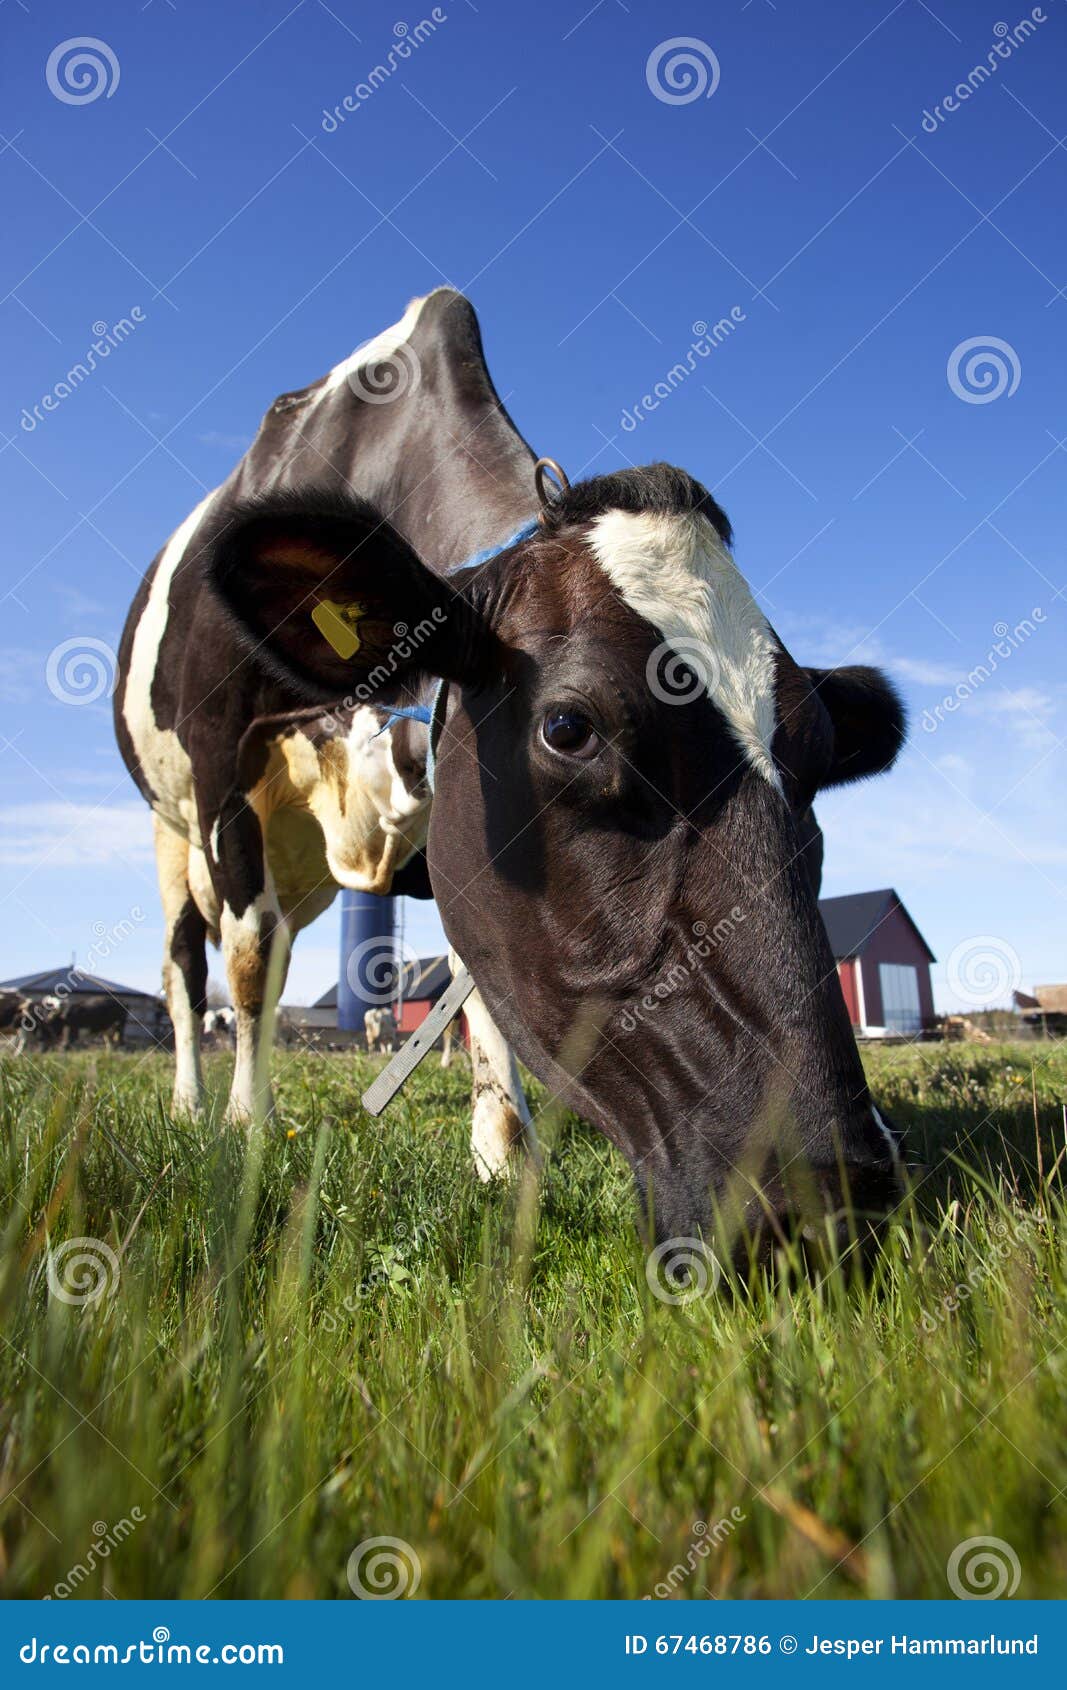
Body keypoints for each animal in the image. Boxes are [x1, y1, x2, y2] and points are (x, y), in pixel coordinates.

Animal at [115, 288, 904, 1260]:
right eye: (569, 728)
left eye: (820, 754)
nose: (834, 1188)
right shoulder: (225, 773)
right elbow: (252, 957)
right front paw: (246, 1129)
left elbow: (473, 972)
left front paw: (503, 1156)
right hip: (171, 834)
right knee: (189, 968)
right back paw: (193, 1104)